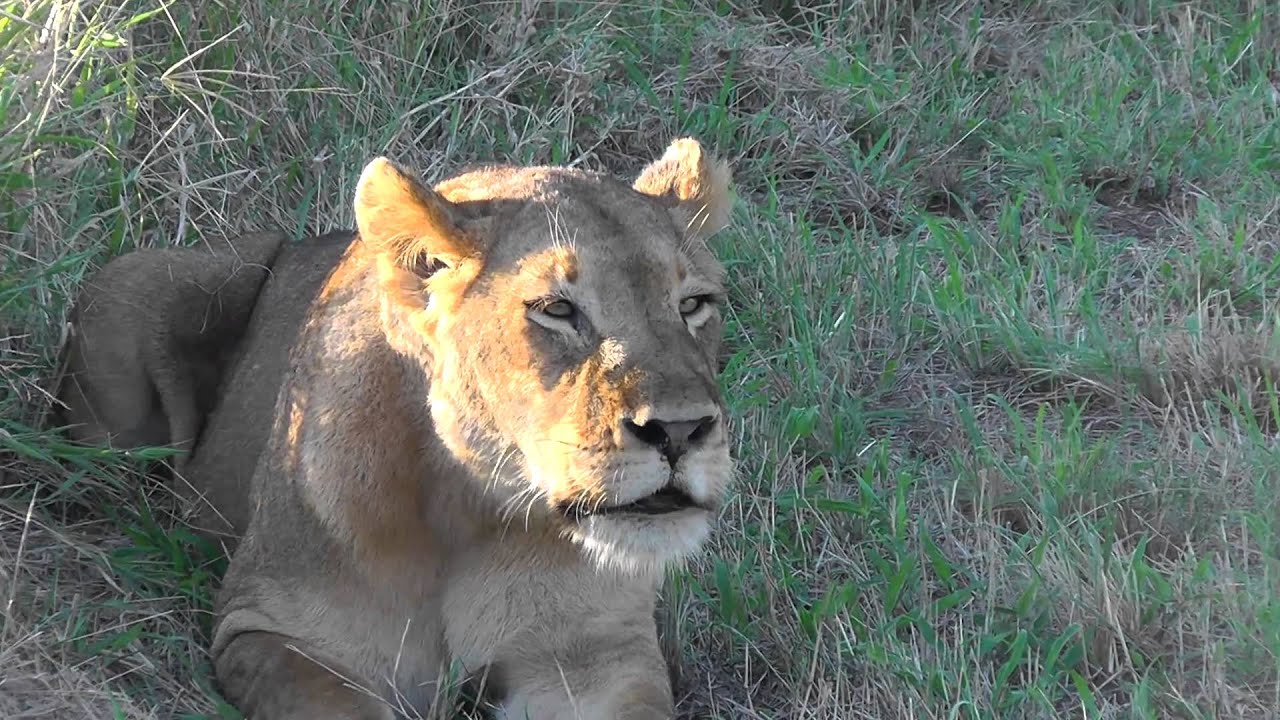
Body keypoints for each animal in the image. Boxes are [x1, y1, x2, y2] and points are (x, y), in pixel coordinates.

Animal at [56, 138, 737, 719]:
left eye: (692, 304)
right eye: (556, 310)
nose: (681, 432)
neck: (471, 510)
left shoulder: (598, 659)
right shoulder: (275, 630)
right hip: (128, 288)